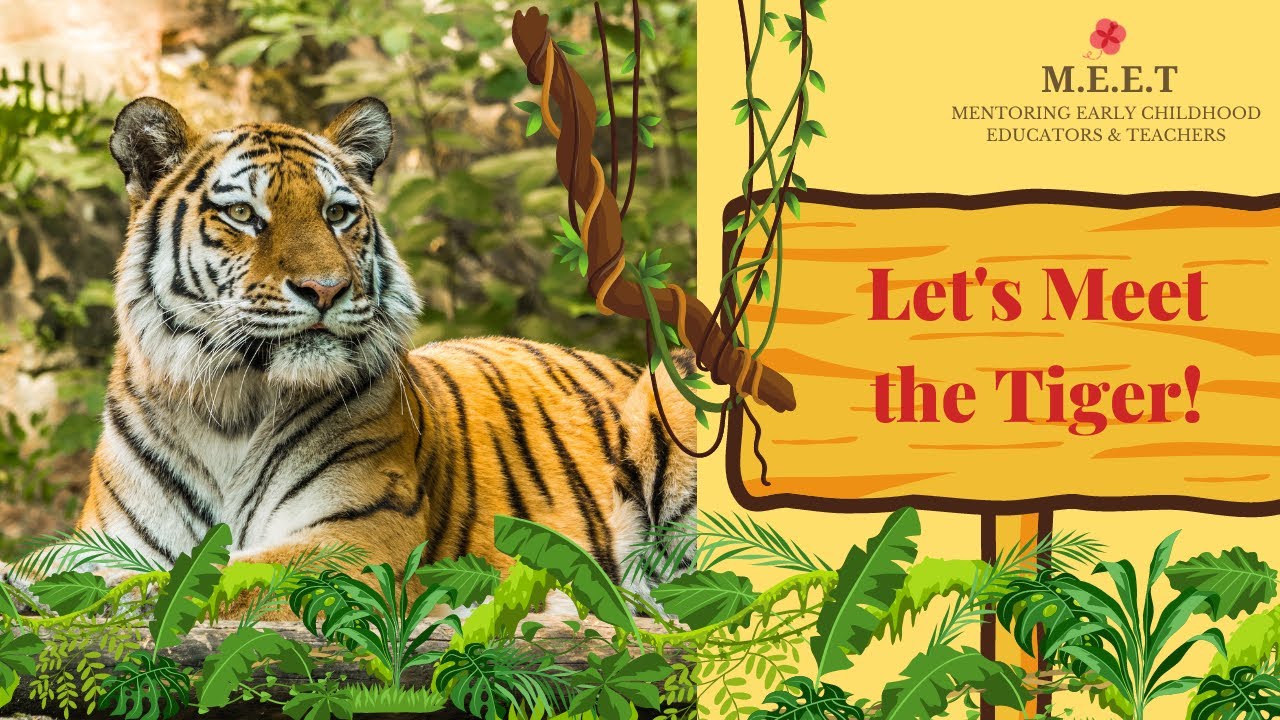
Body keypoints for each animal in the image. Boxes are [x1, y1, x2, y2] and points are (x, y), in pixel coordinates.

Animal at [73, 96, 695, 596]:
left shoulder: (355, 539)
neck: (231, 407)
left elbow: (209, 583)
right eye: (243, 214)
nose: (325, 288)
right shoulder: (108, 543)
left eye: (337, 212)